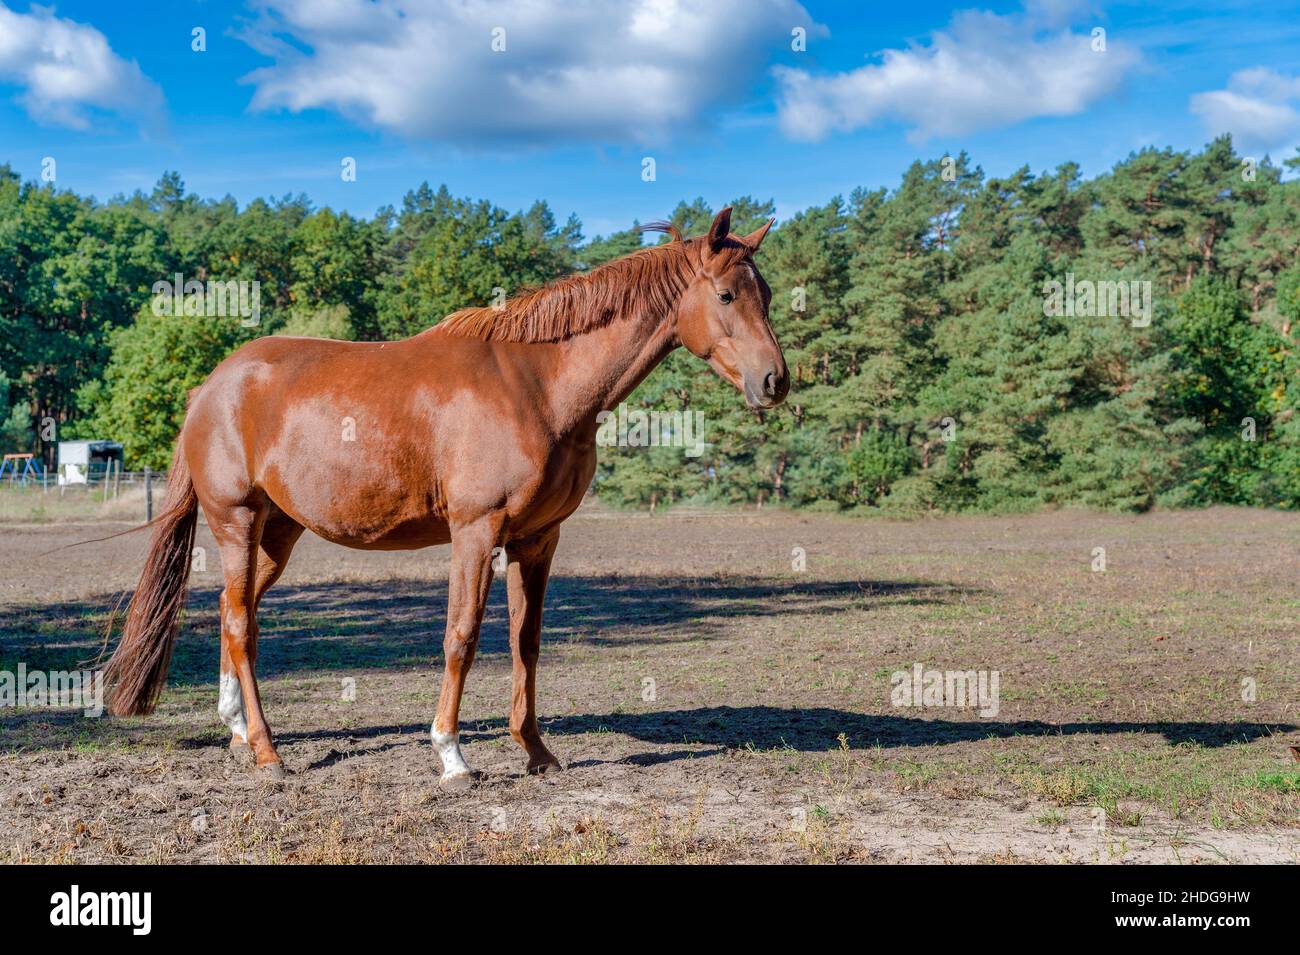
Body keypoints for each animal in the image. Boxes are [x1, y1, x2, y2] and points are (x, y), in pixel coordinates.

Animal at [102, 207, 789, 788]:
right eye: (726, 295)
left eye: (767, 295)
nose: (774, 381)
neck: (538, 386)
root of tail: (212, 387)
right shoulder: (475, 532)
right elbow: (461, 636)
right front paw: (451, 755)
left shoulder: (537, 540)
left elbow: (525, 640)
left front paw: (536, 751)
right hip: (237, 521)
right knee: (243, 624)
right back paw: (269, 753)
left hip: (278, 533)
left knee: (230, 606)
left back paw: (239, 733)